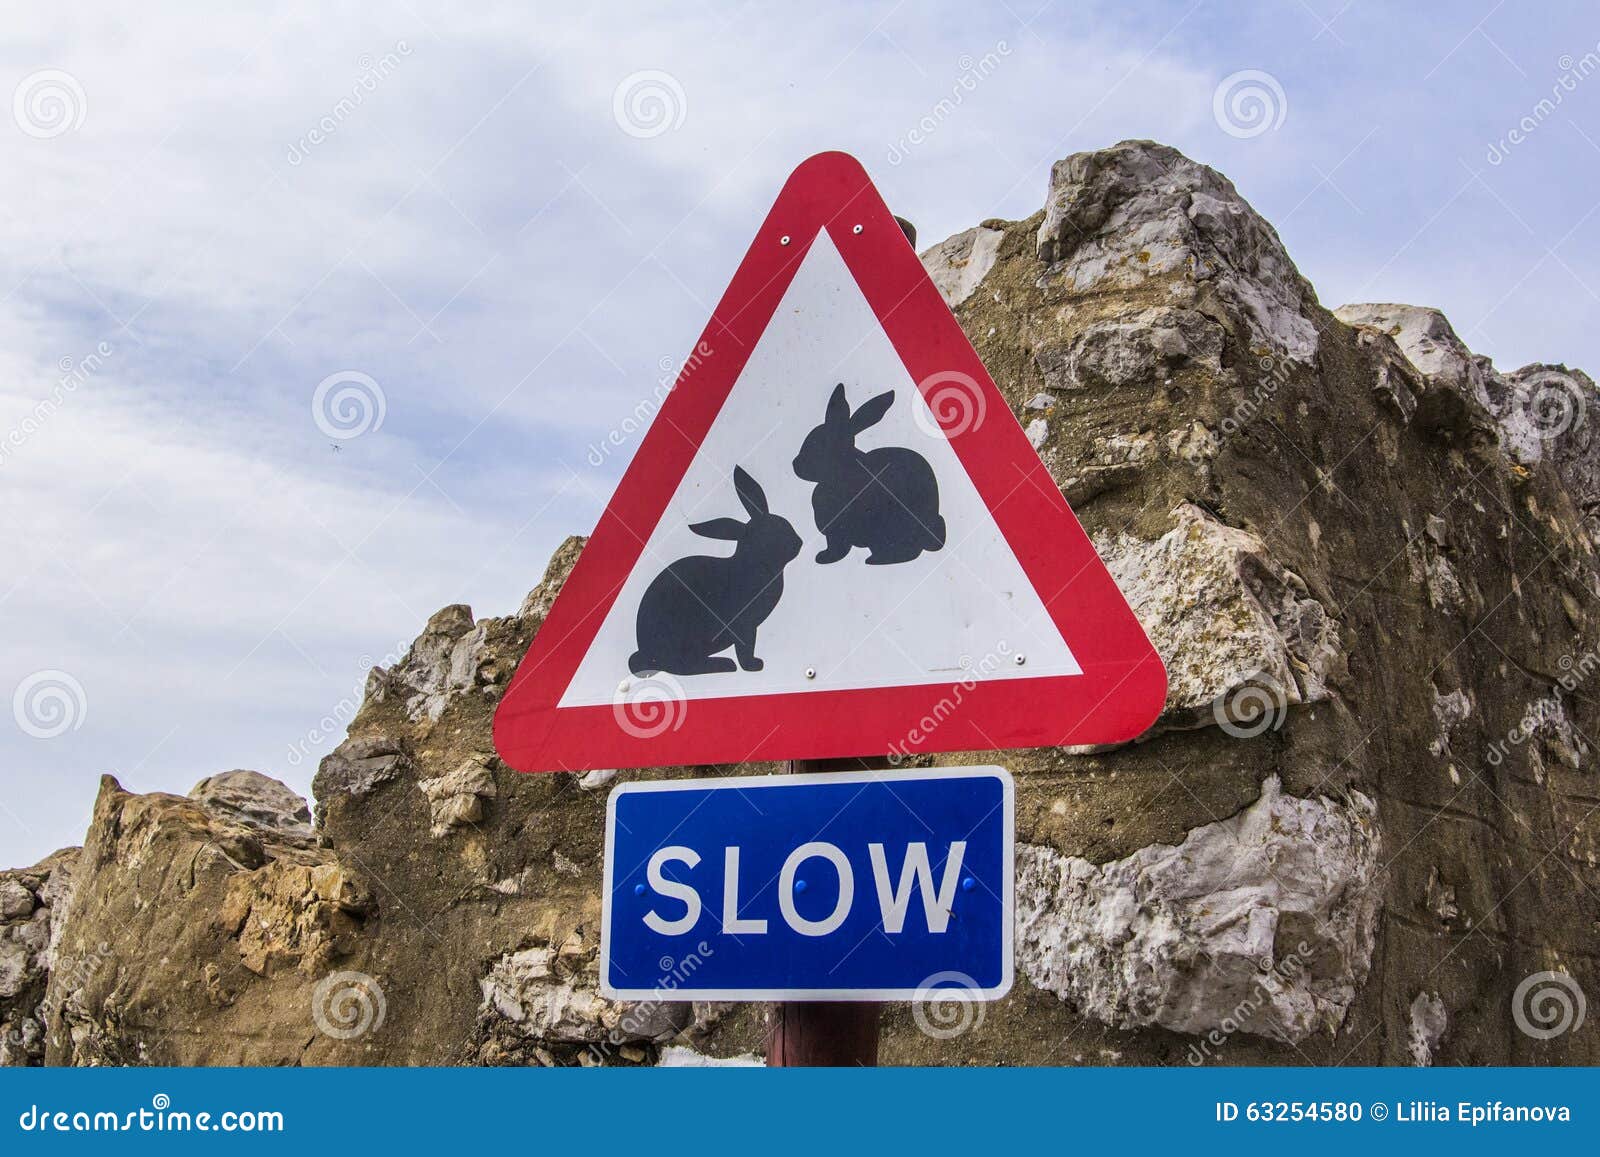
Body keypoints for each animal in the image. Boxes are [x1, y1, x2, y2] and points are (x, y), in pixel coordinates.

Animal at [629, 466, 802, 677]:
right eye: (770, 534)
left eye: (786, 524)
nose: (798, 543)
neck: (753, 563)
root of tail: (646, 653)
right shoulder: (744, 626)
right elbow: (745, 647)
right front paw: (753, 666)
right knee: (680, 666)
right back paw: (723, 664)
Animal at [792, 383, 946, 565]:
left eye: (819, 447)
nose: (795, 465)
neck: (842, 472)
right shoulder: (834, 535)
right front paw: (823, 557)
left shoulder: (838, 534)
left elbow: (839, 548)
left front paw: (824, 559)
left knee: (907, 551)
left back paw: (877, 560)